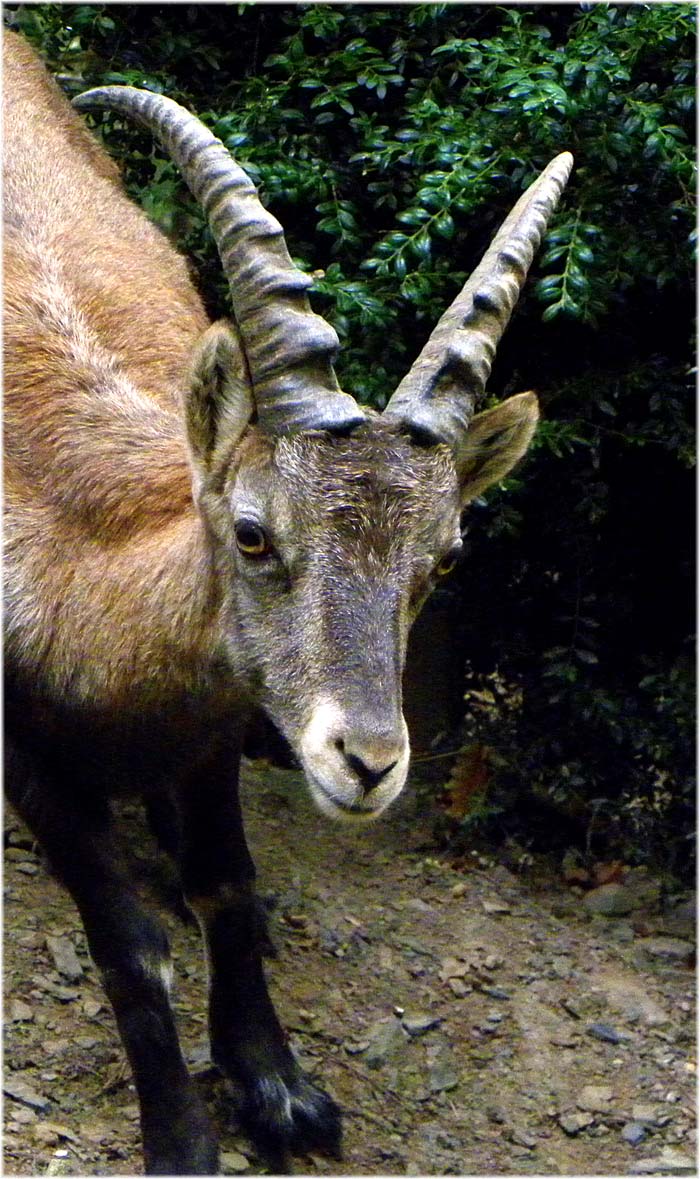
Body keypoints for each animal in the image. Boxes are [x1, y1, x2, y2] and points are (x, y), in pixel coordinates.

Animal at [4, 29, 573, 1176]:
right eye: (253, 532)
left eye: (444, 558)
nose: (369, 759)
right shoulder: (28, 759)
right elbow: (130, 951)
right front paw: (183, 1137)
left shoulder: (216, 727)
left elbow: (227, 882)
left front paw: (276, 1085)